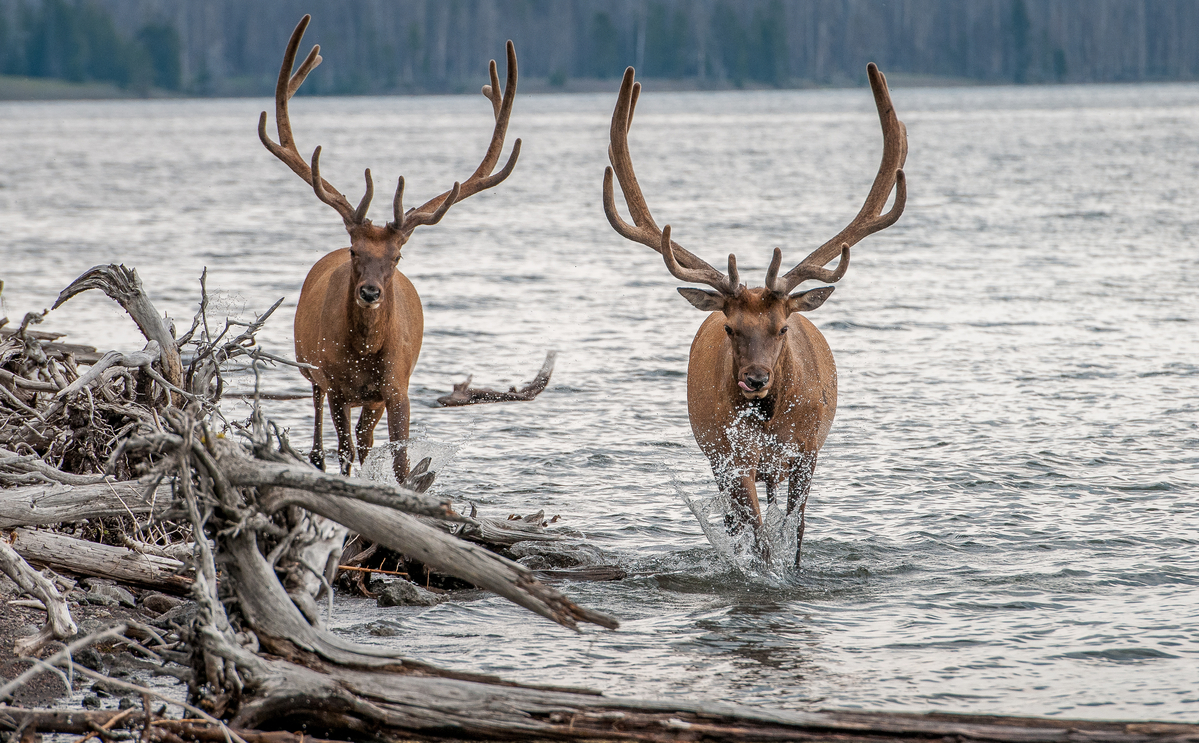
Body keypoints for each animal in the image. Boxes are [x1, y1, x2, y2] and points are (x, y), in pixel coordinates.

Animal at [259, 15, 520, 485]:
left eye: (396, 257)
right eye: (353, 251)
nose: (370, 292)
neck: (364, 354)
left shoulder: (397, 388)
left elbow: (398, 461)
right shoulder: (336, 384)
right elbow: (344, 451)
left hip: (375, 398)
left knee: (365, 440)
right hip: (311, 370)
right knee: (322, 439)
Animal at [603, 64, 907, 565]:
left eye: (782, 327)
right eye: (730, 327)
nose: (755, 378)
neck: (769, 422)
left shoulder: (806, 453)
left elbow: (795, 535)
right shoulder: (733, 459)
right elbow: (760, 538)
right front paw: (761, 568)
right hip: (717, 457)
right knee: (736, 521)